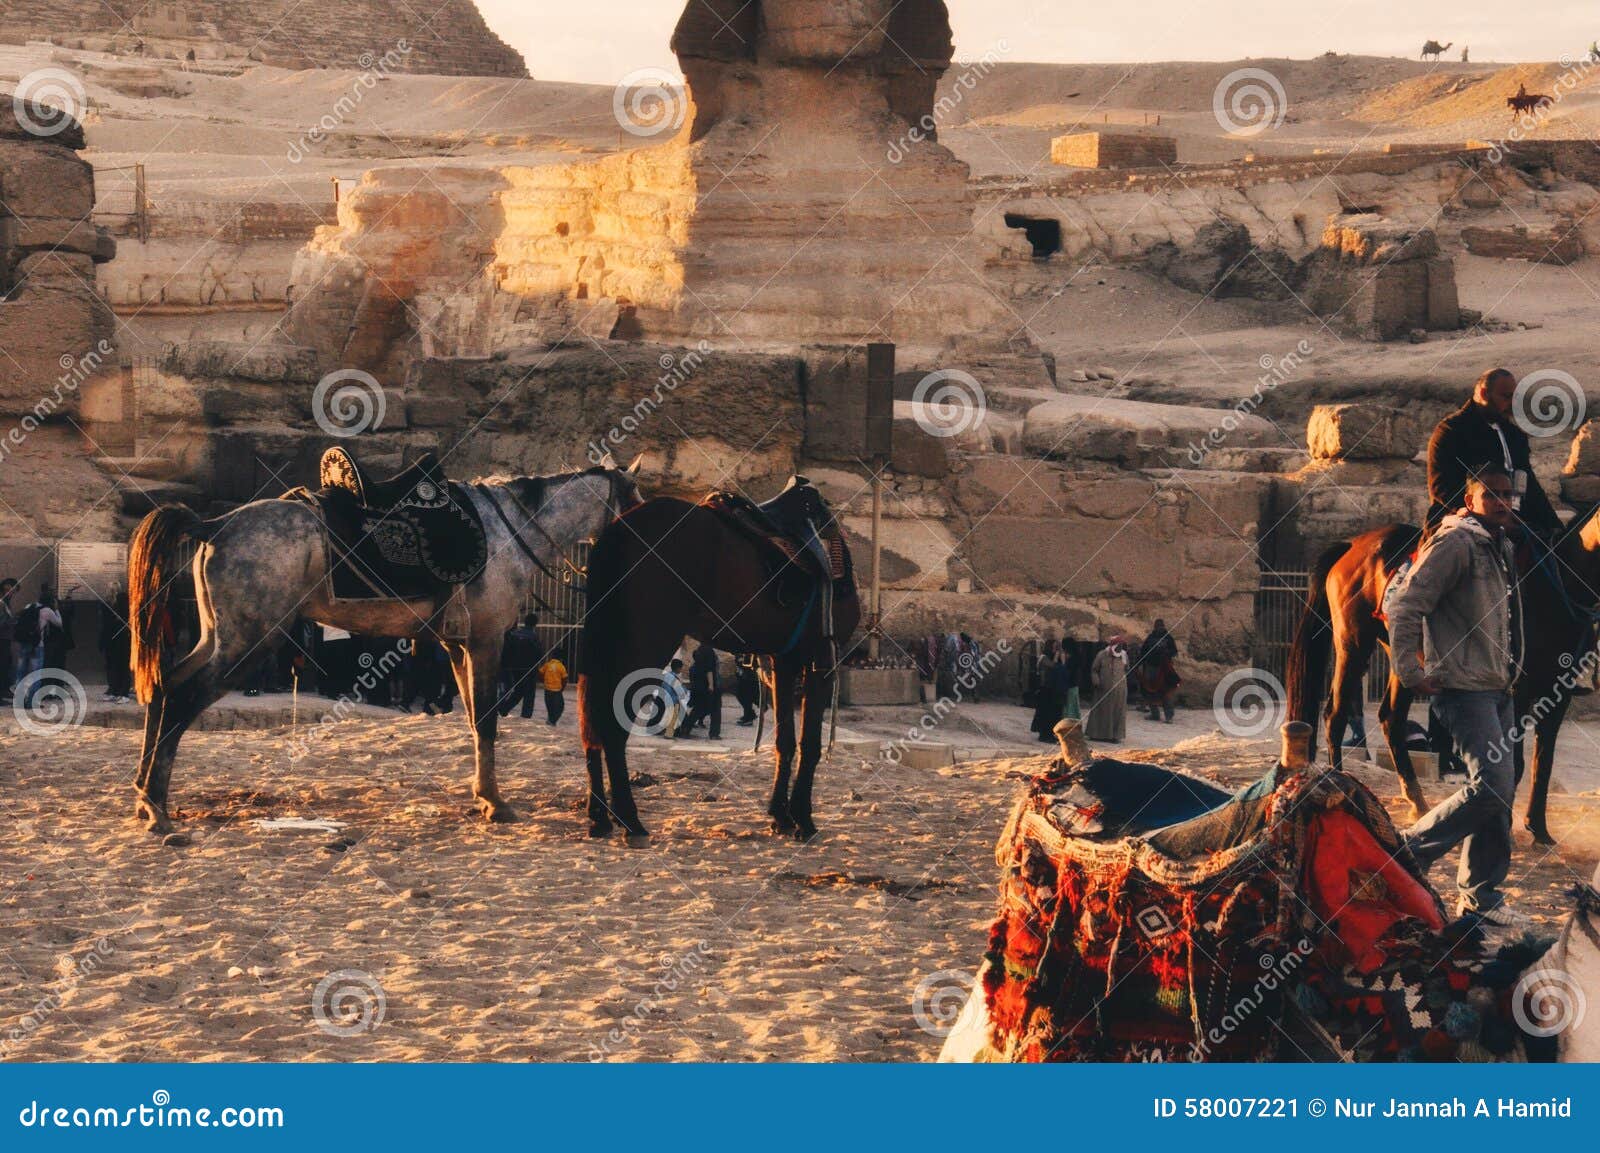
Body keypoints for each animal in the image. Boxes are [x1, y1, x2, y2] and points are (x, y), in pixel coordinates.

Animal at [124, 461, 642, 838]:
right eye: (637, 498)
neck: (511, 531)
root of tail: (215, 525)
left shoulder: (456, 646)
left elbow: (475, 719)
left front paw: (483, 794)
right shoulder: (486, 641)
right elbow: (488, 720)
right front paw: (495, 802)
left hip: (218, 636)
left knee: (164, 687)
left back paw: (145, 797)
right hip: (246, 643)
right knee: (181, 698)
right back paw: (157, 807)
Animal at [575, 494, 860, 845]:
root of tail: (617, 530)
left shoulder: (784, 661)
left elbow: (785, 741)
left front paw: (781, 816)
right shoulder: (819, 659)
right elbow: (810, 744)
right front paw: (803, 820)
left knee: (591, 723)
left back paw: (599, 817)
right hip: (647, 642)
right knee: (612, 725)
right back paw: (630, 821)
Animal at [1286, 504, 1600, 842]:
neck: (1560, 588)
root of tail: (1352, 545)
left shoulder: (1558, 692)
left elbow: (1544, 761)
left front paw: (1538, 829)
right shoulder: (1516, 691)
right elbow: (1515, 761)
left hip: (1401, 656)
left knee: (1391, 718)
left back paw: (1418, 802)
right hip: (1353, 646)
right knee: (1336, 714)